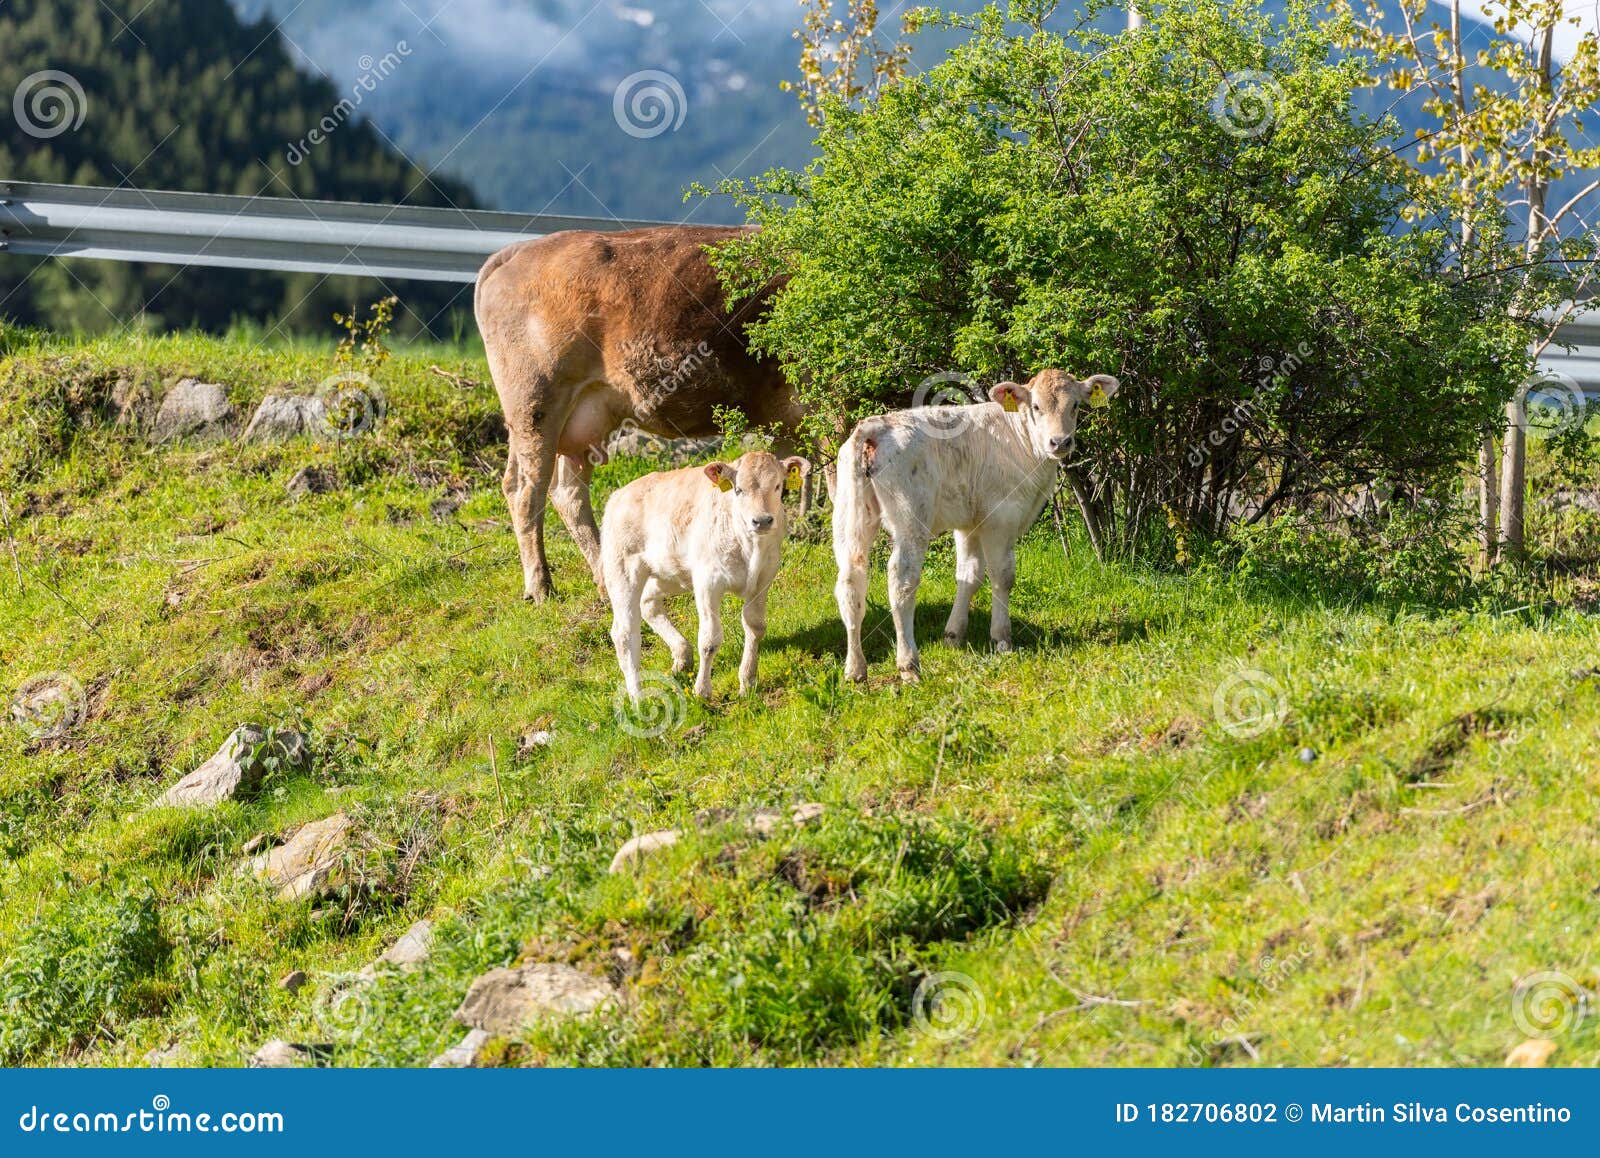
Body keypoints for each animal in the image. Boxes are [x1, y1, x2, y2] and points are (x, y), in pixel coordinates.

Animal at [475, 226, 804, 603]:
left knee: (567, 492)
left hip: (579, 423)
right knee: (526, 490)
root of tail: (519, 250)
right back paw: (540, 586)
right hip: (535, 408)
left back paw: (604, 582)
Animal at [603, 450, 813, 702]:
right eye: (738, 489)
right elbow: (709, 638)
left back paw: (682, 657)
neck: (751, 548)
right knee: (624, 633)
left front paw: (747, 682)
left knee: (648, 603)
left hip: (668, 573)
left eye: (778, 486)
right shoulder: (707, 581)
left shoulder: (764, 577)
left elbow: (755, 626)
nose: (762, 520)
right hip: (622, 570)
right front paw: (702, 691)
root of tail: (618, 494)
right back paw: (638, 697)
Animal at [832, 369, 1121, 682]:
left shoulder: (969, 523)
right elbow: (1002, 576)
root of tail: (875, 426)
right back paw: (909, 665)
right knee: (901, 581)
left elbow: (968, 575)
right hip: (911, 519)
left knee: (850, 580)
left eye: (1075, 406)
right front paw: (1002, 639)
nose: (1060, 442)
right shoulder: (1001, 517)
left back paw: (855, 669)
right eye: (1036, 407)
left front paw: (953, 636)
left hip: (849, 517)